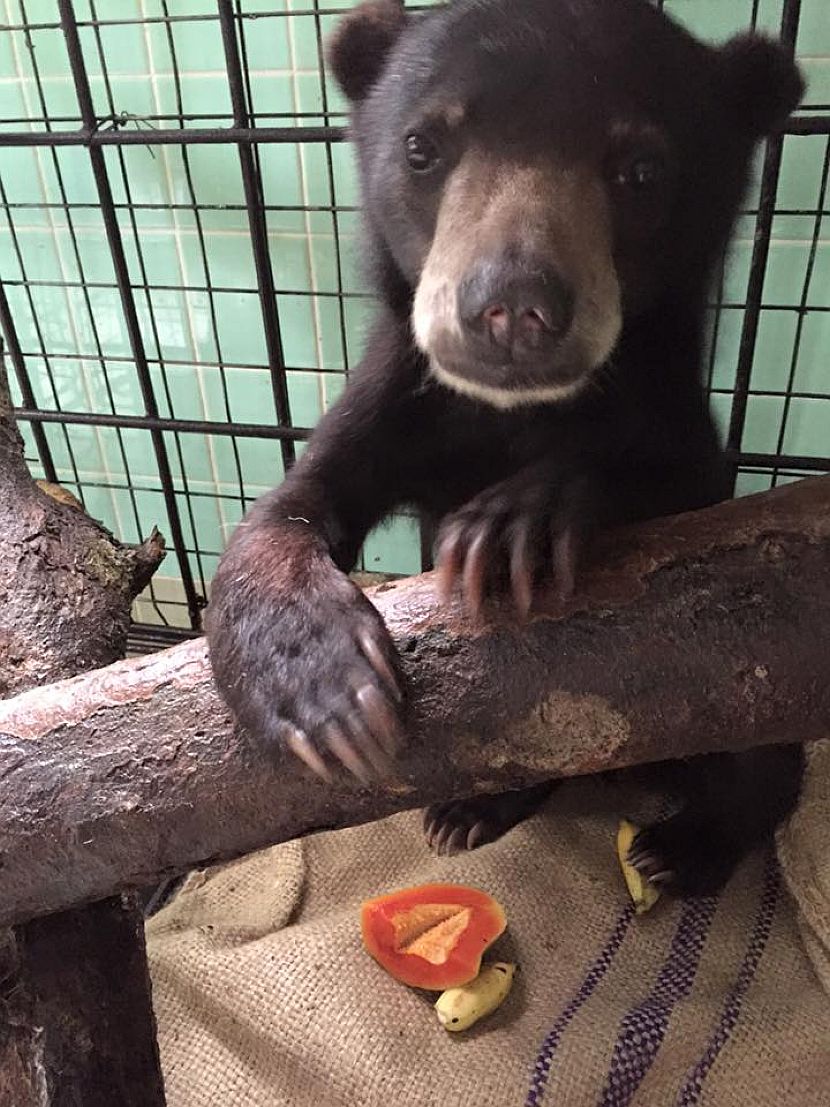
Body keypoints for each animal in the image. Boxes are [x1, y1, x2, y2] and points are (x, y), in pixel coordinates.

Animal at [205, 0, 805, 897]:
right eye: (423, 147)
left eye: (642, 169)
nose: (513, 305)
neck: (504, 413)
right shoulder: (397, 397)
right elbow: (295, 501)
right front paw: (324, 693)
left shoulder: (674, 418)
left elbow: (675, 485)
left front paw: (513, 525)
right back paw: (470, 807)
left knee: (761, 755)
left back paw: (682, 847)